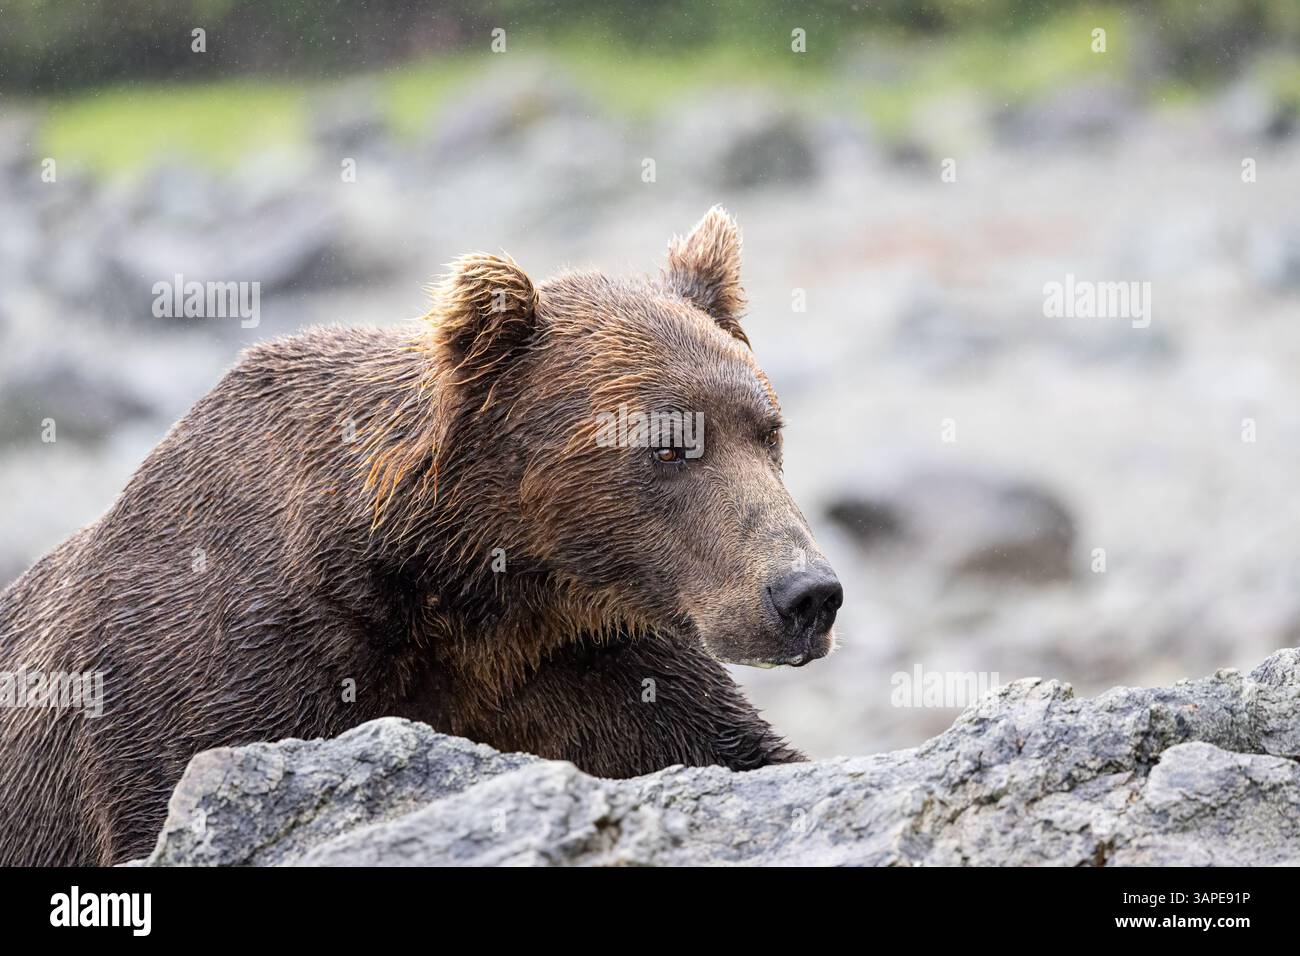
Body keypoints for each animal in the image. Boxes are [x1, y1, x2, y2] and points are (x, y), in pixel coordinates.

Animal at [0, 207, 842, 866]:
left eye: (768, 431)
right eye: (668, 447)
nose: (806, 593)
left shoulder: (592, 662)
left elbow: (733, 752)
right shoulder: (210, 680)